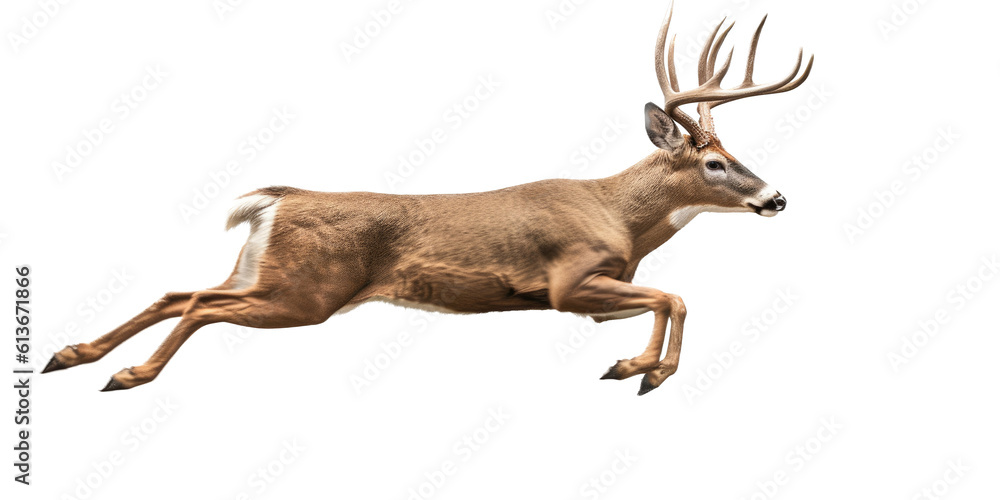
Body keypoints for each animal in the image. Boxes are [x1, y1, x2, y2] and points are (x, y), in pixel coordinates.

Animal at [42, 3, 813, 395]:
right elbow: (674, 295)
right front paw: (646, 372)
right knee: (198, 303)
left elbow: (665, 297)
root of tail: (276, 200)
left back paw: (73, 355)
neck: (620, 216)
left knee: (177, 292)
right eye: (715, 162)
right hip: (305, 293)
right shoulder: (567, 282)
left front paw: (636, 367)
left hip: (262, 273)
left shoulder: (597, 292)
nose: (776, 198)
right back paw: (128, 374)